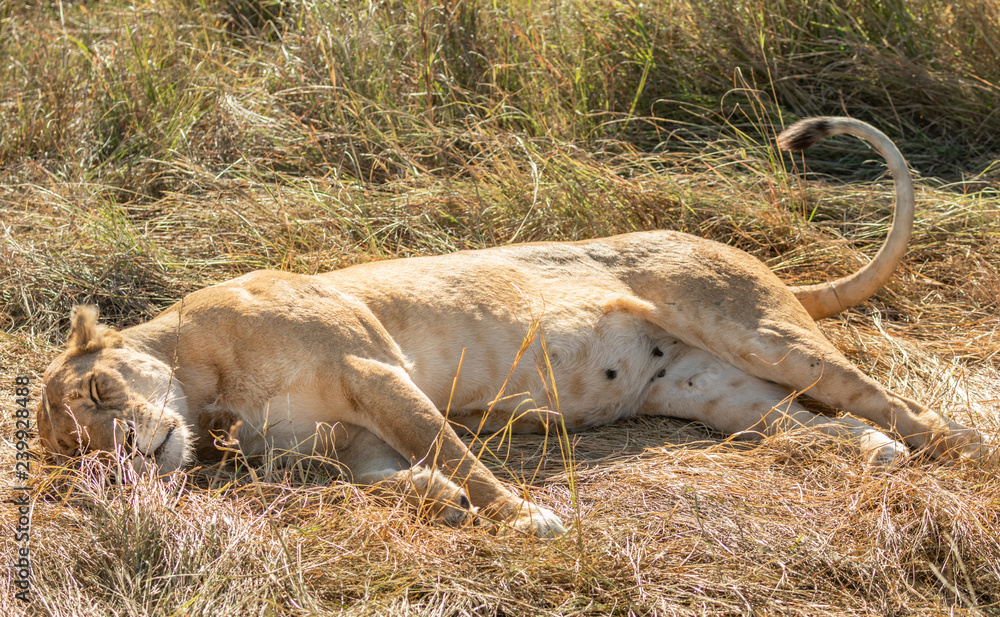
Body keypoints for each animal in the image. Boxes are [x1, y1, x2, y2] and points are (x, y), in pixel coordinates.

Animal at [37, 117, 993, 537]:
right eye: (79, 456)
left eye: (100, 390)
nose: (125, 458)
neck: (214, 396)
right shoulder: (340, 441)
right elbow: (385, 483)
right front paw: (442, 502)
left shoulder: (375, 372)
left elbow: (455, 450)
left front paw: (524, 512)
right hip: (716, 392)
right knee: (823, 423)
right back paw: (873, 453)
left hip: (752, 326)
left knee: (899, 405)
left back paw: (962, 447)